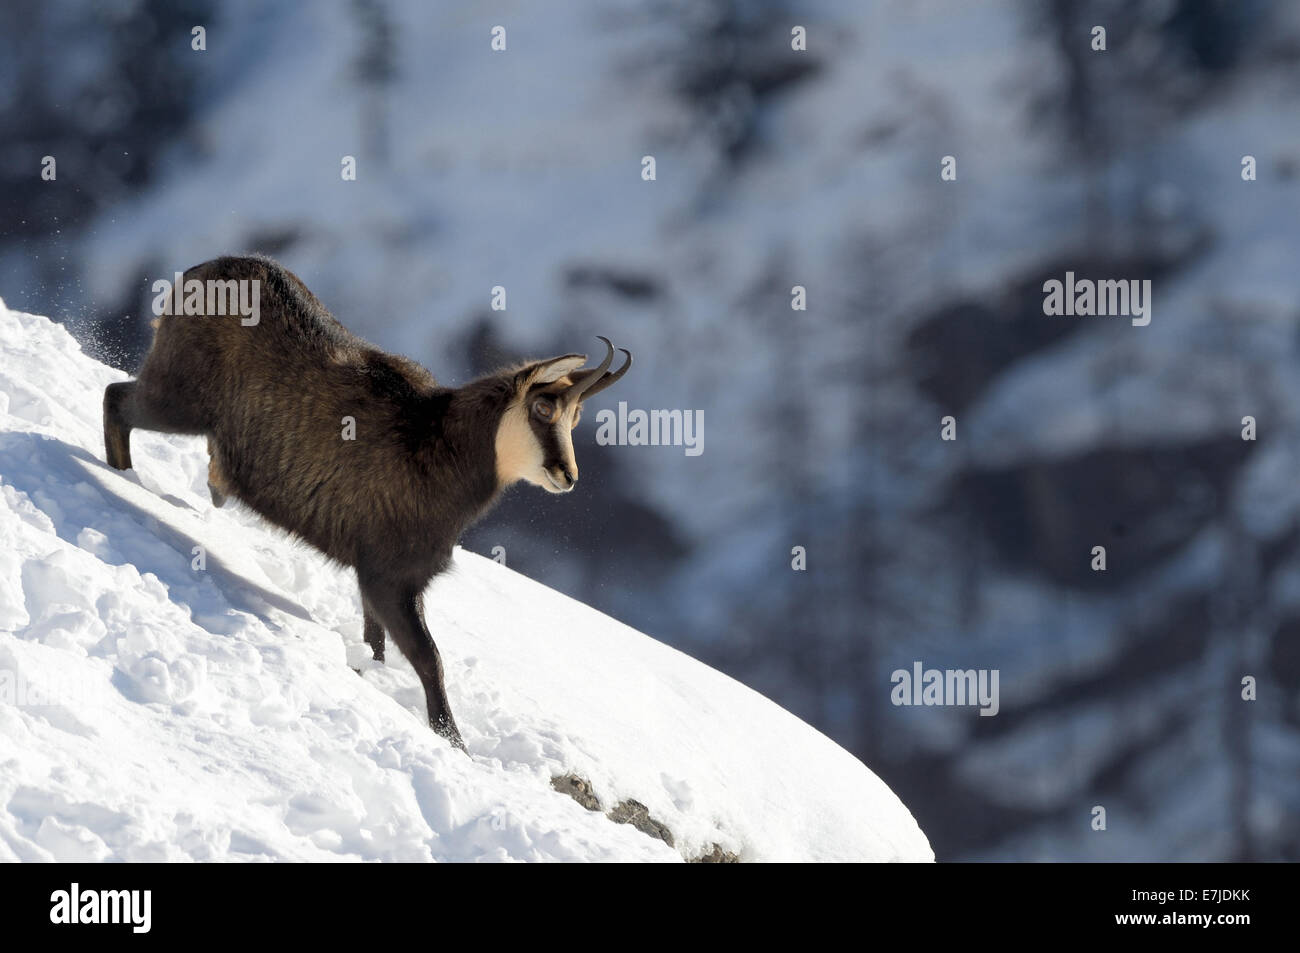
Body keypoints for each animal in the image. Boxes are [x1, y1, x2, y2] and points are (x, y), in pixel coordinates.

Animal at [103, 255, 631, 751]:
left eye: (577, 418)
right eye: (543, 408)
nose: (568, 476)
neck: (441, 450)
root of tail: (194, 275)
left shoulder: (374, 575)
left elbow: (376, 642)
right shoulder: (389, 574)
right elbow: (429, 658)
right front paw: (454, 743)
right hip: (181, 397)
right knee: (117, 400)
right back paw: (121, 476)